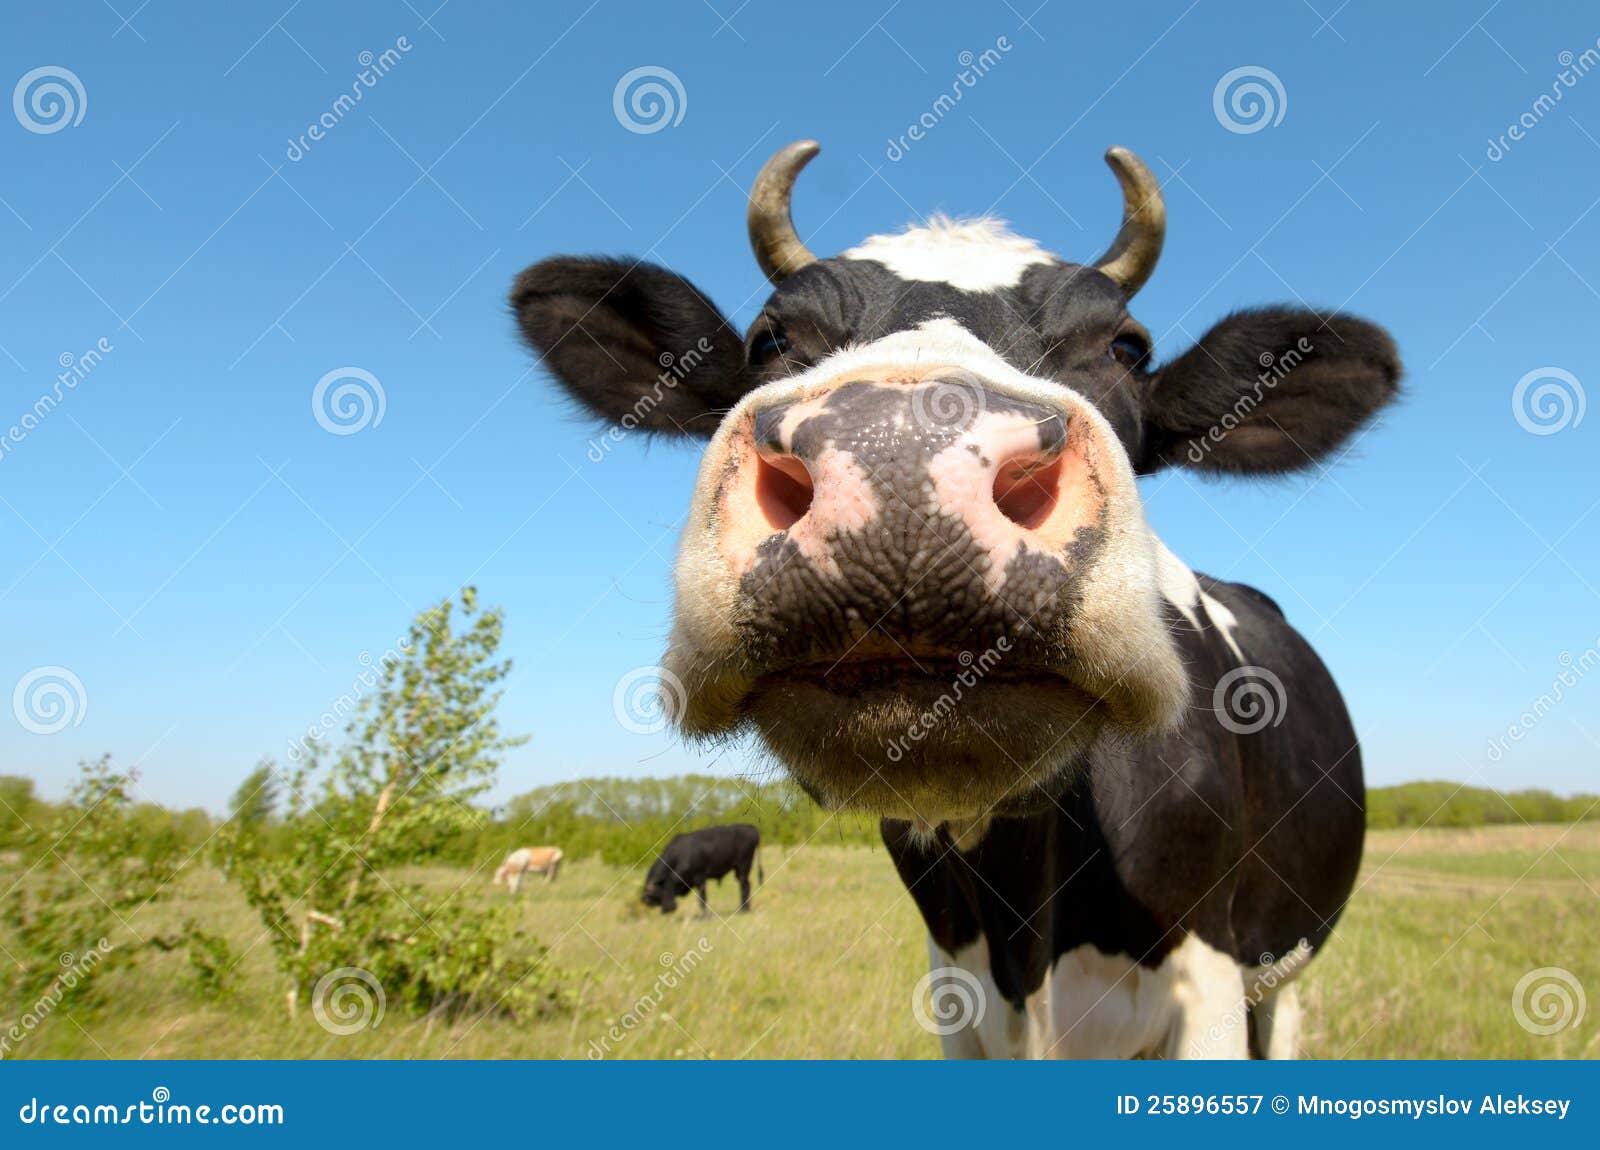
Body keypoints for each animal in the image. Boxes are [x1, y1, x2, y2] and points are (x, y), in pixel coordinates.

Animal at [510, 141, 1399, 1058]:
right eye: (770, 338)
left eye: (1125, 347)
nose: (902, 449)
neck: (1028, 964)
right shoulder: (956, 998)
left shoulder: (1209, 991)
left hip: (1282, 969)